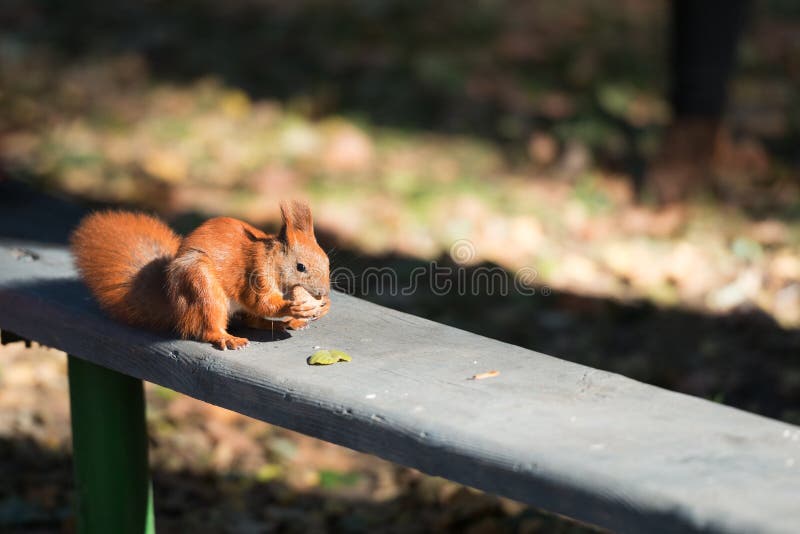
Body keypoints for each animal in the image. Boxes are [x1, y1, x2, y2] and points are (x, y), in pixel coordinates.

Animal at [70, 201, 330, 350]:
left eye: (328, 262)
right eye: (300, 267)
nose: (323, 292)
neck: (273, 259)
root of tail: (174, 304)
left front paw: (323, 306)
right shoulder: (255, 273)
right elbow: (262, 302)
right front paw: (293, 307)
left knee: (251, 320)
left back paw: (286, 323)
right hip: (201, 285)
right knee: (209, 326)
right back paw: (227, 338)